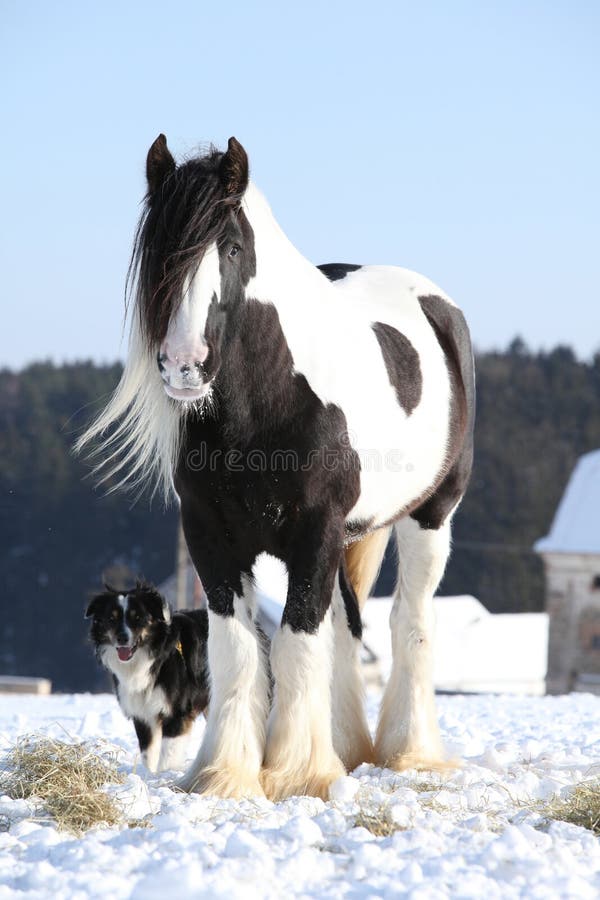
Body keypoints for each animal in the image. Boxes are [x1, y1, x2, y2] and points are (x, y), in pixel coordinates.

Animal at [78, 134, 475, 801]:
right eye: (159, 247)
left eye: (233, 248)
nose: (184, 365)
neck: (269, 403)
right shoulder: (210, 535)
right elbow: (241, 649)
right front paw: (226, 775)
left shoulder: (313, 530)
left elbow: (294, 642)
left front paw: (296, 772)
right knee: (346, 628)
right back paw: (348, 747)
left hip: (430, 514)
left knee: (409, 621)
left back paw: (409, 754)